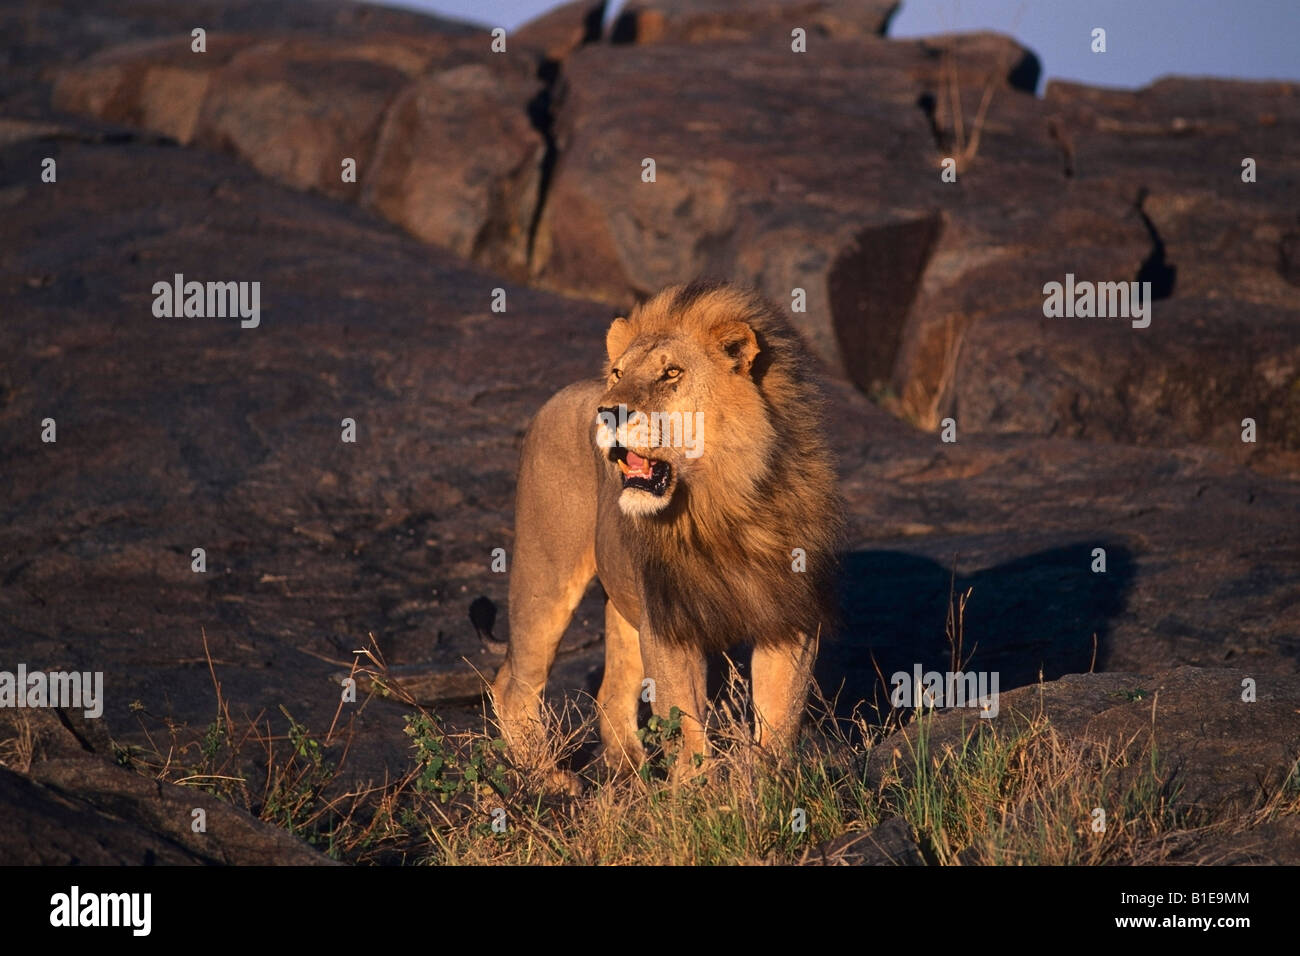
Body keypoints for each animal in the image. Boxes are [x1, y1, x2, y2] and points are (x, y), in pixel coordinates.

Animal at [491, 281, 842, 775]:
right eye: (618, 373)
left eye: (671, 373)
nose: (607, 413)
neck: (718, 507)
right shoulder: (669, 625)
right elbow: (688, 732)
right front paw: (699, 792)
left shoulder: (788, 619)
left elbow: (778, 722)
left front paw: (766, 787)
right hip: (546, 572)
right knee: (514, 683)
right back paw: (547, 778)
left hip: (623, 606)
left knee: (610, 691)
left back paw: (631, 774)